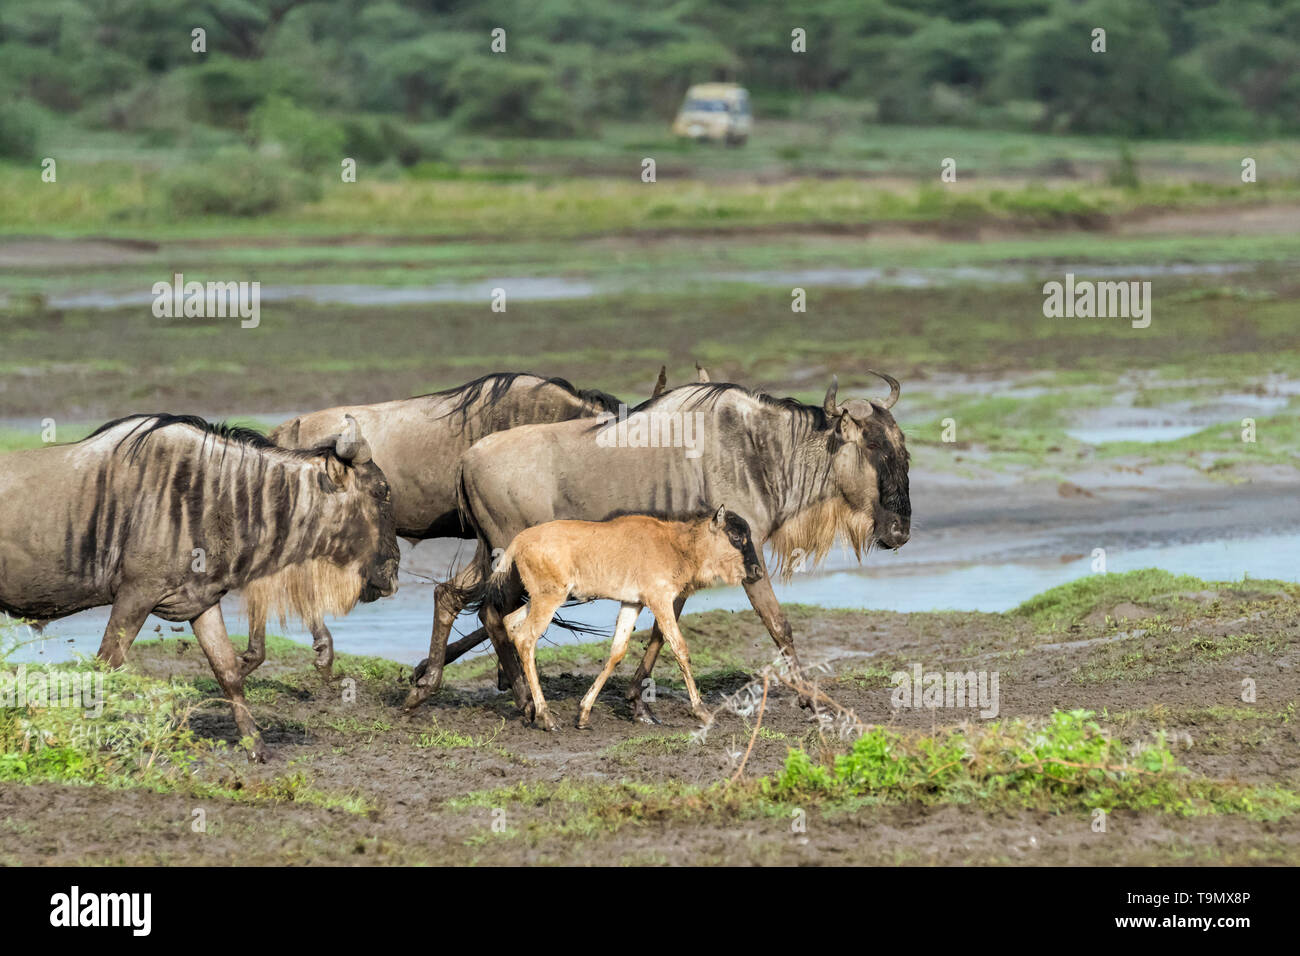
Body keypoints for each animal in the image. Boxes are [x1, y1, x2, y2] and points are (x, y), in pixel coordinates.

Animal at [0, 413, 399, 761]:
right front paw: (84, 739)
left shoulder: (200, 602)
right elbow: (106, 666)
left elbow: (229, 672)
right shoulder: (136, 594)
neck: (218, 496)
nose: (394, 573)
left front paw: (257, 748)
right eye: (383, 491)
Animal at [485, 507, 763, 731]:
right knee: (526, 638)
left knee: (510, 623)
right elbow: (679, 649)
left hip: (540, 599)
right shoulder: (660, 600)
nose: (757, 571)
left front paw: (583, 714)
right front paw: (703, 713)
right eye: (736, 537)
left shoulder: (633, 603)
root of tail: (520, 540)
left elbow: (617, 651)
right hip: (549, 599)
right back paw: (546, 717)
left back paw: (531, 708)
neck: (676, 544)